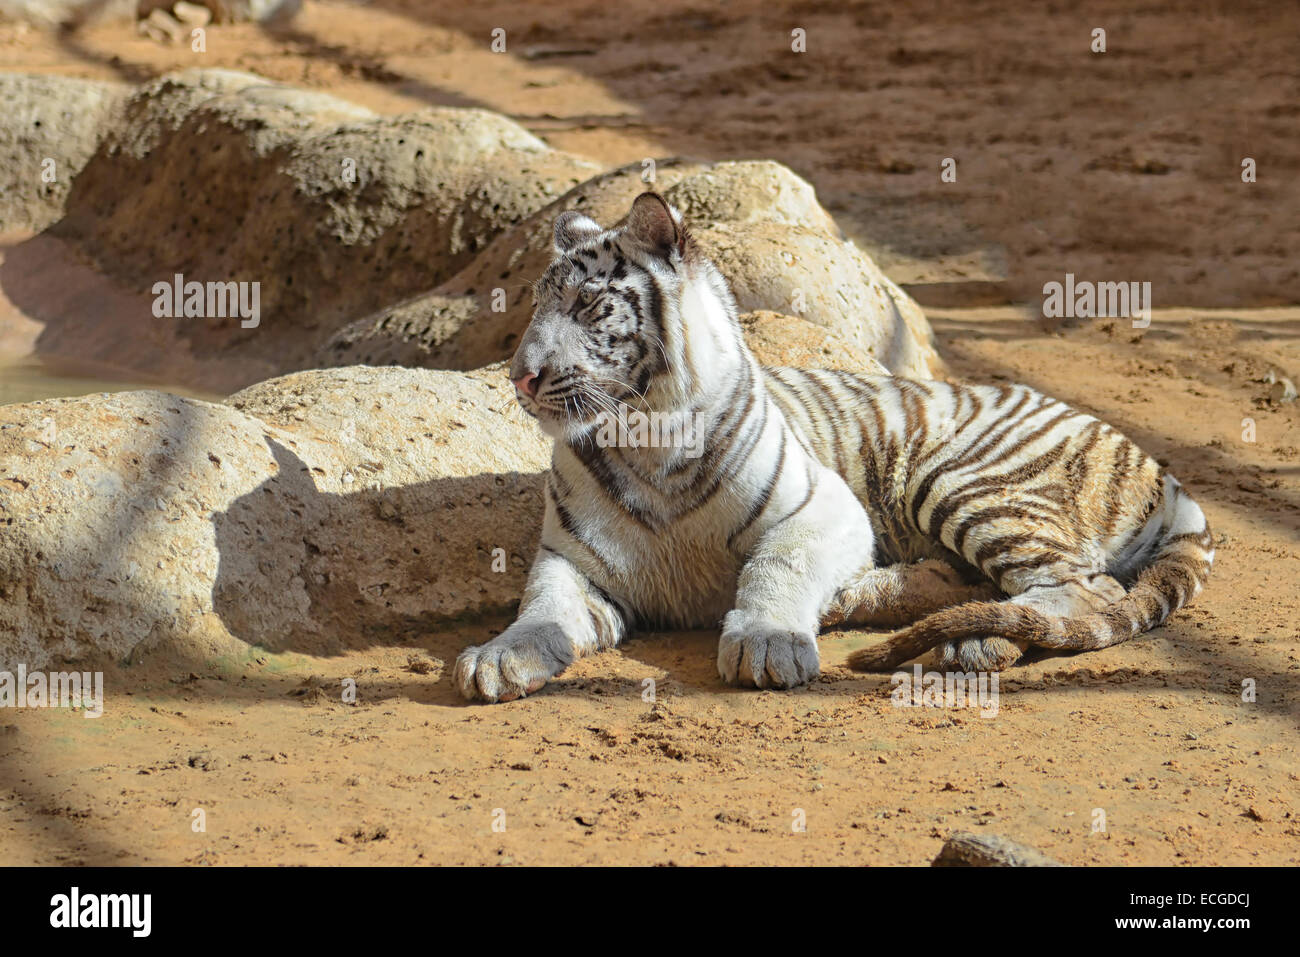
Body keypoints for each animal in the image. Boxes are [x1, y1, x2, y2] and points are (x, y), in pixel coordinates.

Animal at [452, 192, 1213, 703]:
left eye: (586, 306)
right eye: (536, 306)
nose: (519, 374)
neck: (648, 440)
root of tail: (1162, 469)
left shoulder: (823, 508)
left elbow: (776, 567)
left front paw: (768, 643)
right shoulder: (571, 558)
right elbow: (541, 608)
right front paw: (498, 657)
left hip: (962, 478)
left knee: (1086, 594)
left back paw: (970, 640)